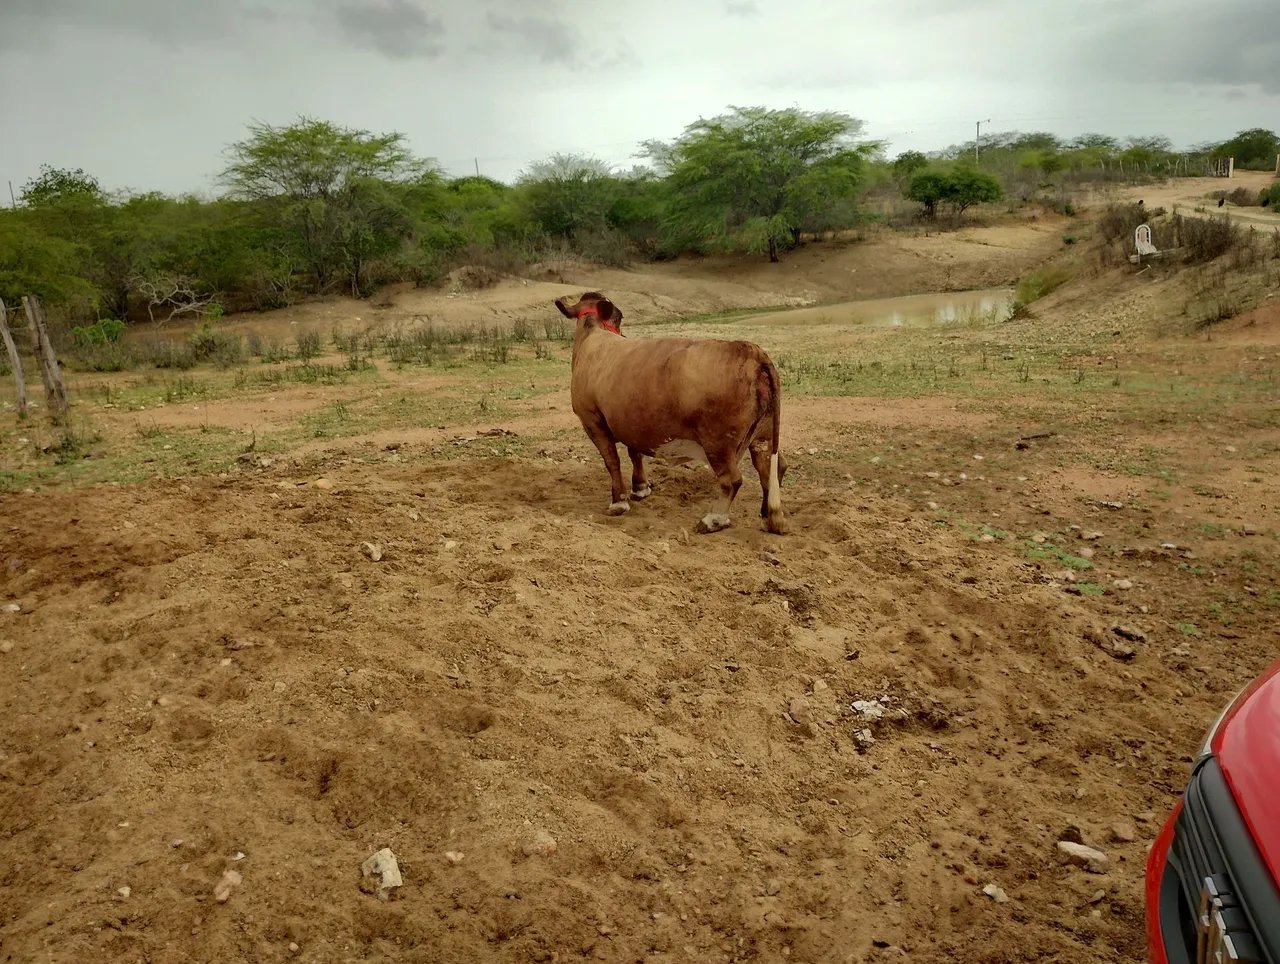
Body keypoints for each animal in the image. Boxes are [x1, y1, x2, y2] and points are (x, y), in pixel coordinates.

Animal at [554, 290, 787, 535]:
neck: (593, 337)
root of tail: (751, 351)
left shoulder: (592, 420)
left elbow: (612, 461)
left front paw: (618, 502)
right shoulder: (630, 419)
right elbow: (634, 453)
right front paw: (640, 487)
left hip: (718, 442)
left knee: (732, 480)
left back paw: (713, 519)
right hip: (764, 433)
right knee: (771, 468)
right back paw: (766, 515)